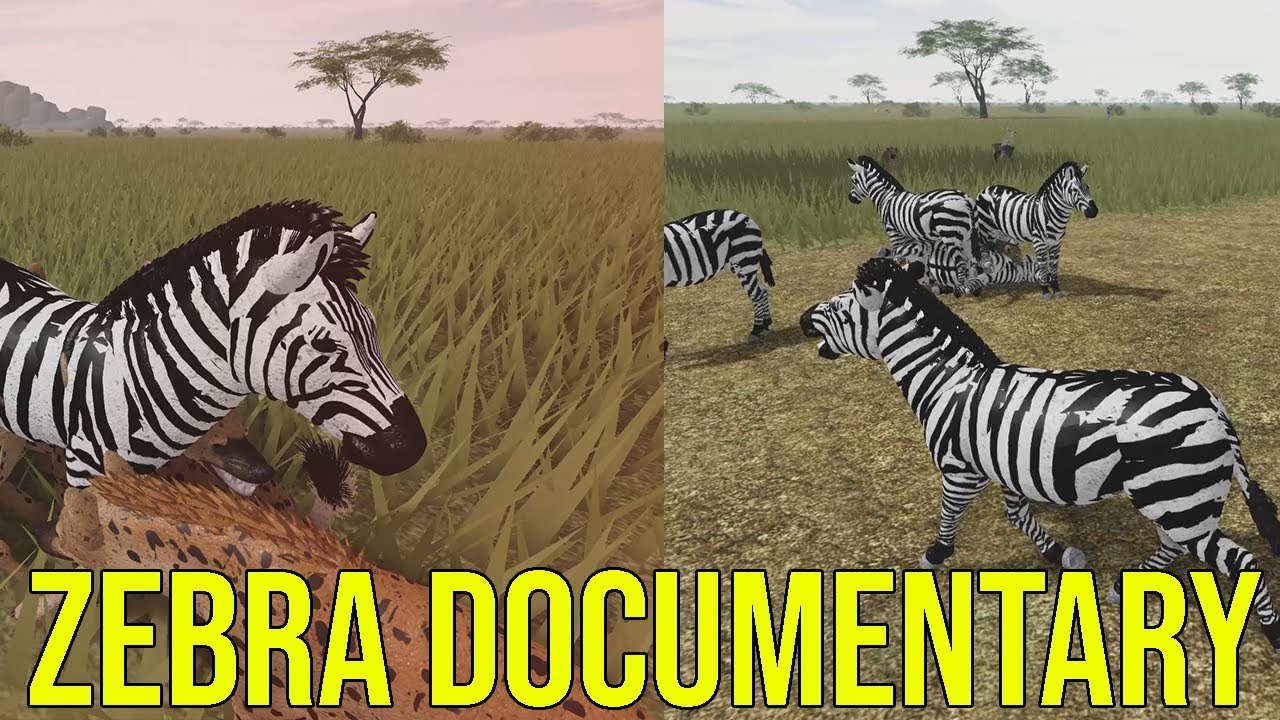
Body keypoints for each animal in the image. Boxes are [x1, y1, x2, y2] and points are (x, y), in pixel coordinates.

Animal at [663, 209, 775, 356]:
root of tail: (745, 216)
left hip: (744, 261)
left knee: (757, 294)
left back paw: (756, 330)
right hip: (744, 267)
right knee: (762, 290)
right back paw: (765, 325)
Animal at [798, 257, 1280, 652]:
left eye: (842, 310)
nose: (803, 318)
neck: (948, 383)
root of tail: (1209, 401)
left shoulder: (960, 470)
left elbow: (949, 516)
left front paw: (934, 556)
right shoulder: (1005, 467)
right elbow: (1018, 517)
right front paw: (1061, 554)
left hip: (1176, 495)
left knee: (1237, 560)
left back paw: (1271, 632)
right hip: (1177, 496)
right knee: (1174, 547)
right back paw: (1123, 589)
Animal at [844, 155, 980, 289]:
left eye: (853, 181)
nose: (850, 199)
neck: (886, 198)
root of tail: (965, 198)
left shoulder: (893, 231)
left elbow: (899, 256)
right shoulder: (907, 234)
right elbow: (912, 258)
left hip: (950, 234)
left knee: (961, 262)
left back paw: (960, 288)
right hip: (967, 236)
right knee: (972, 260)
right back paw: (972, 285)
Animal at [973, 161, 1099, 300]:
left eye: (1088, 188)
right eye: (1075, 190)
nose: (1094, 211)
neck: (1048, 210)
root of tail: (987, 188)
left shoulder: (1057, 242)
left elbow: (1054, 265)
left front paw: (1056, 289)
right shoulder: (1039, 242)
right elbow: (1043, 265)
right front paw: (1045, 291)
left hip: (1001, 233)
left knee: (998, 249)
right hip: (986, 230)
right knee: (983, 250)